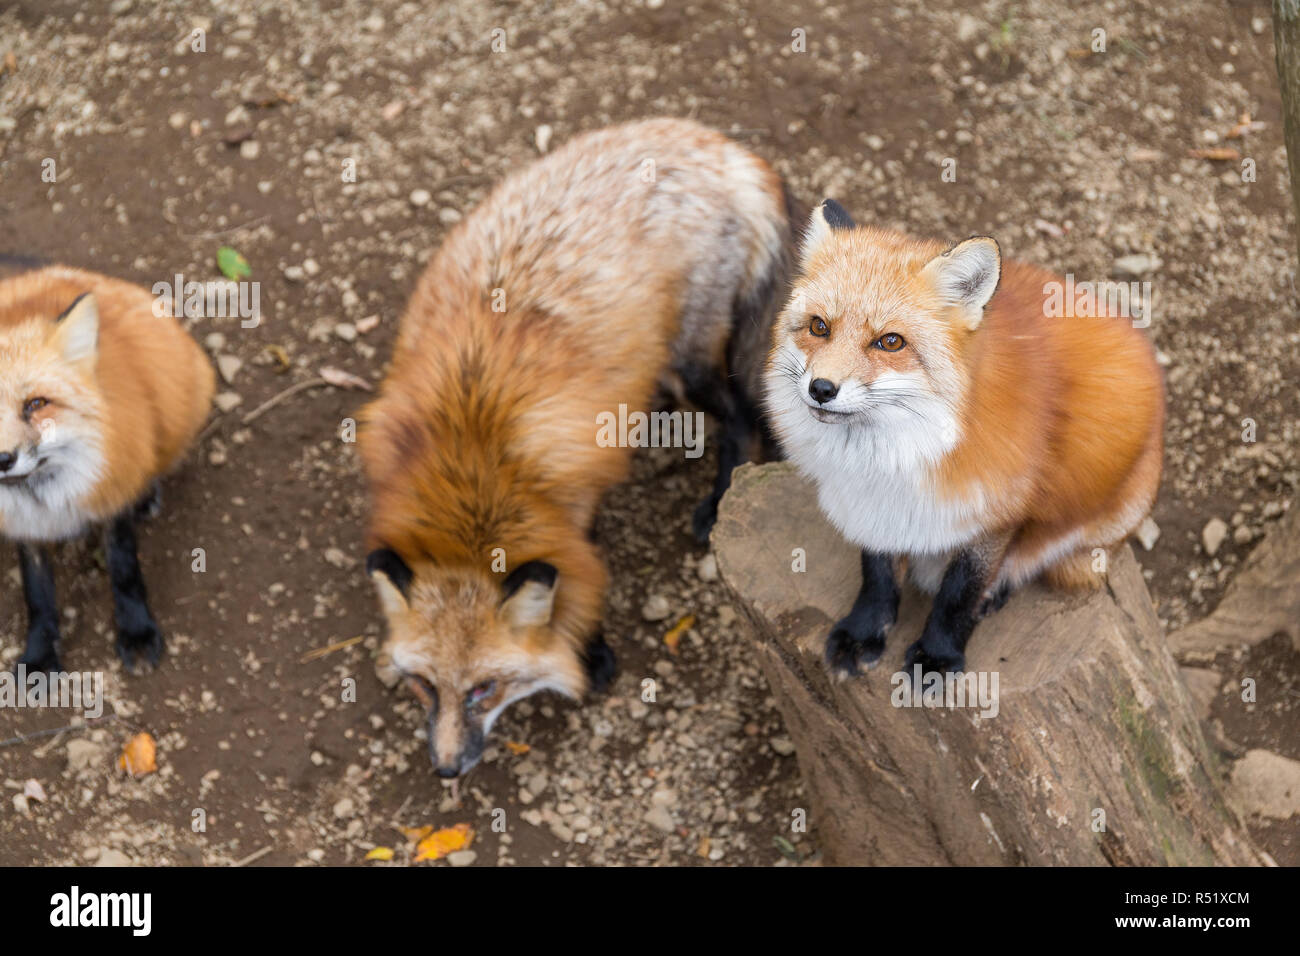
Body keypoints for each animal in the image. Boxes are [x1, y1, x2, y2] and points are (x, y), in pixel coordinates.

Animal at [0, 260, 216, 672]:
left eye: (36, 404)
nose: (3, 460)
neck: (46, 495)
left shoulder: (113, 490)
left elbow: (124, 568)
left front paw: (136, 630)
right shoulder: (24, 526)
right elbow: (37, 594)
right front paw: (40, 655)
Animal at [360, 118, 792, 777]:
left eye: (485, 688)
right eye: (425, 686)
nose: (447, 768)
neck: (471, 456)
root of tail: (715, 143)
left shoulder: (571, 495)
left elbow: (580, 566)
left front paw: (593, 650)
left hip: (694, 358)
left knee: (744, 416)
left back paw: (718, 500)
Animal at [764, 200, 1164, 677]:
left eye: (890, 342)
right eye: (819, 327)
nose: (821, 389)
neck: (900, 454)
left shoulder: (995, 515)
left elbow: (959, 594)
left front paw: (938, 655)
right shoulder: (874, 507)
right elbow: (877, 573)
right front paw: (864, 632)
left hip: (1094, 541)